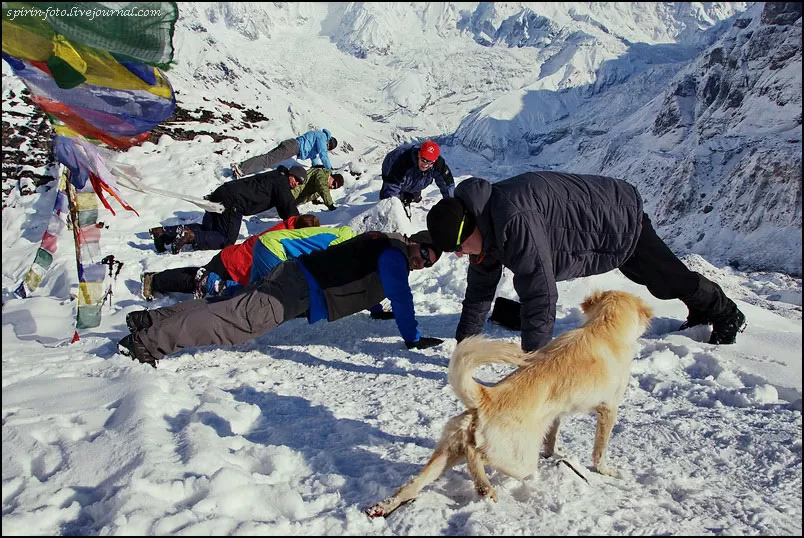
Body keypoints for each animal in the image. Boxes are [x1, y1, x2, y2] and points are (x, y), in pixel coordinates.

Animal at [364, 288, 652, 516]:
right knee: (476, 455)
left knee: (411, 485)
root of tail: (486, 397)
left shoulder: (555, 414)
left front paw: (552, 454)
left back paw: (382, 507)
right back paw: (485, 488)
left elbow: (552, 437)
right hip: (519, 461)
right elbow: (600, 450)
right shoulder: (609, 410)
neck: (604, 325)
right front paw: (606, 470)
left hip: (445, 454)